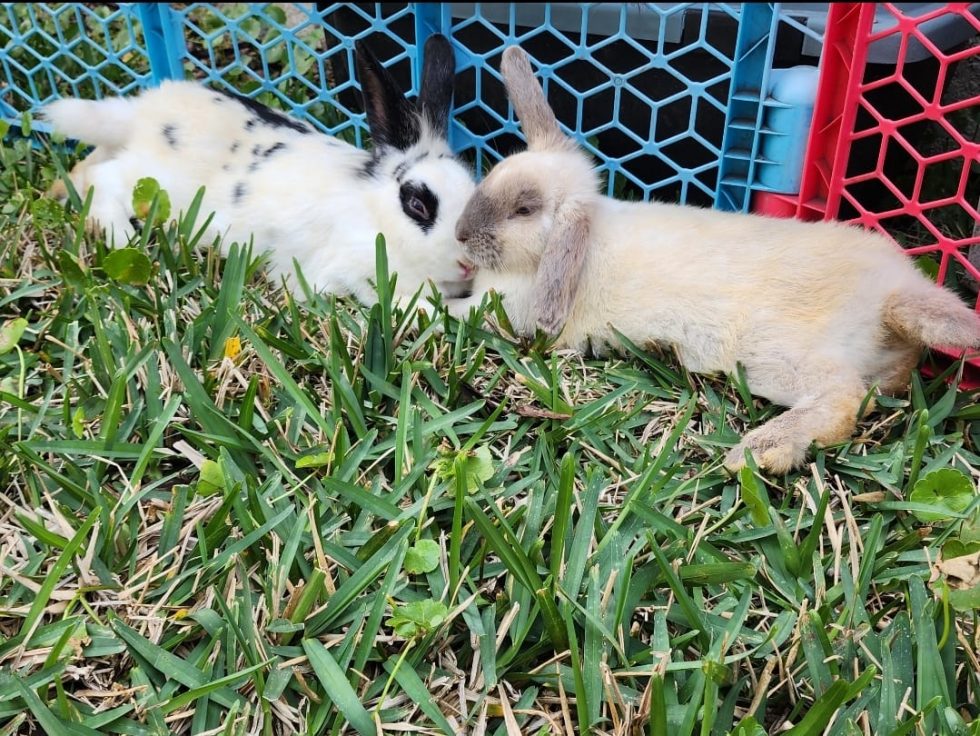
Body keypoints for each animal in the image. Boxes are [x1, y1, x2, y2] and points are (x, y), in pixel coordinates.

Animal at [42, 35, 477, 310]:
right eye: (417, 204)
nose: (469, 264)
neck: (374, 214)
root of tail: (141, 114)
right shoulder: (354, 276)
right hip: (148, 183)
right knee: (102, 180)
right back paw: (122, 236)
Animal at [447, 46, 980, 474]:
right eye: (492, 173)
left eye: (524, 210)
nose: (459, 235)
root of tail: (893, 293)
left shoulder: (505, 311)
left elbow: (446, 310)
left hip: (776, 357)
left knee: (843, 400)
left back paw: (758, 453)